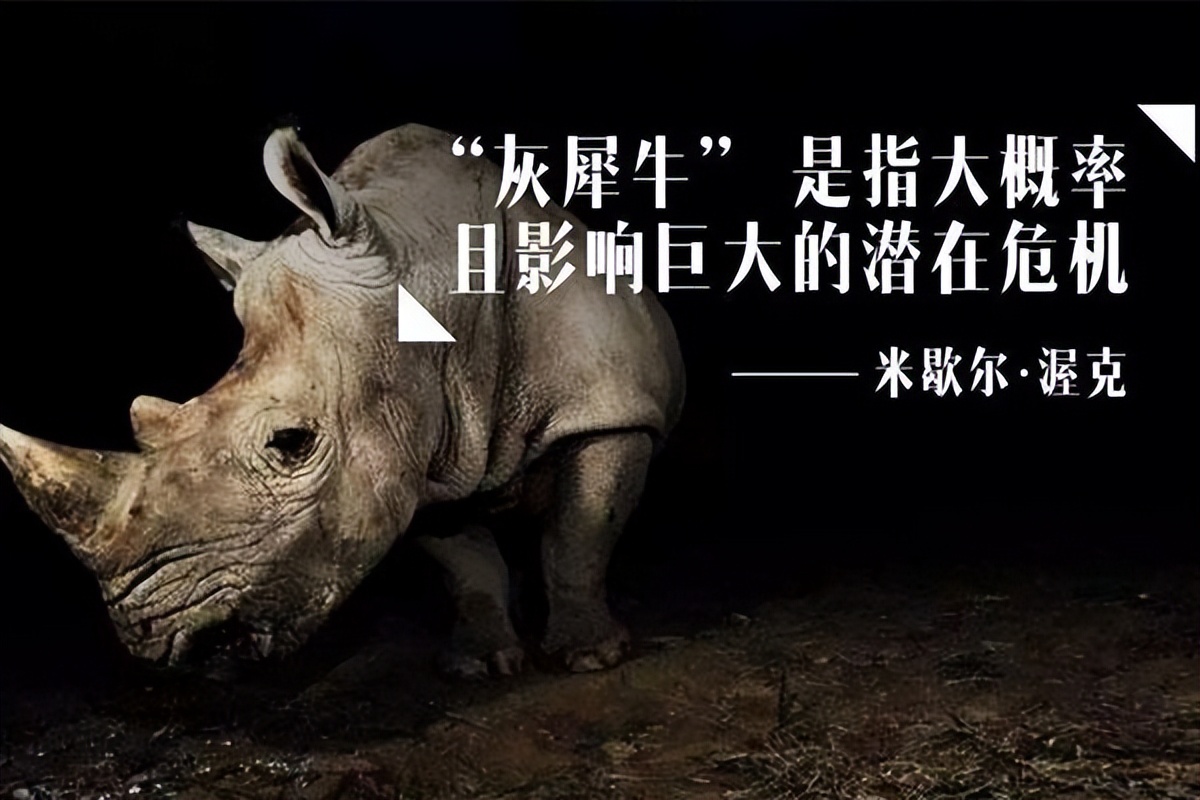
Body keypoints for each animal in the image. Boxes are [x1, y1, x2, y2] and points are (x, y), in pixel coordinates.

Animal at [0, 124, 684, 678]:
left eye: (292, 443)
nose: (155, 642)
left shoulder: (607, 411)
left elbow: (580, 534)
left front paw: (590, 657)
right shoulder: (423, 450)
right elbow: (465, 563)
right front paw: (480, 665)